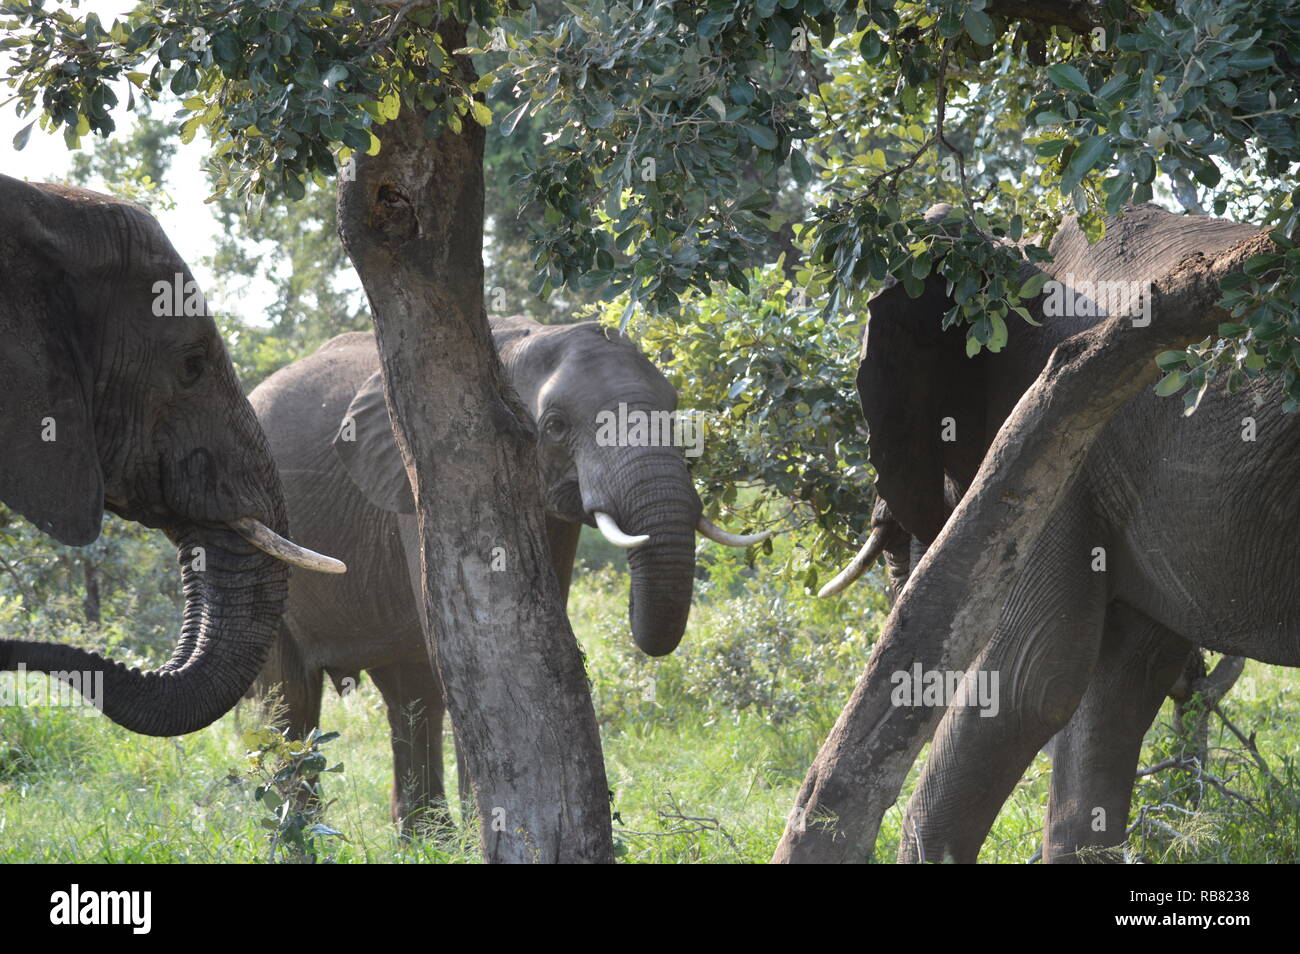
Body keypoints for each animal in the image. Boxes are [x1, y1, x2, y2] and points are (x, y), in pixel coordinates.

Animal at [248, 316, 767, 829]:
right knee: (292, 698)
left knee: (409, 694)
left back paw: (427, 837)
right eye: (554, 426)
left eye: (675, 414)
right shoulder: (423, 479)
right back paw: (307, 831)